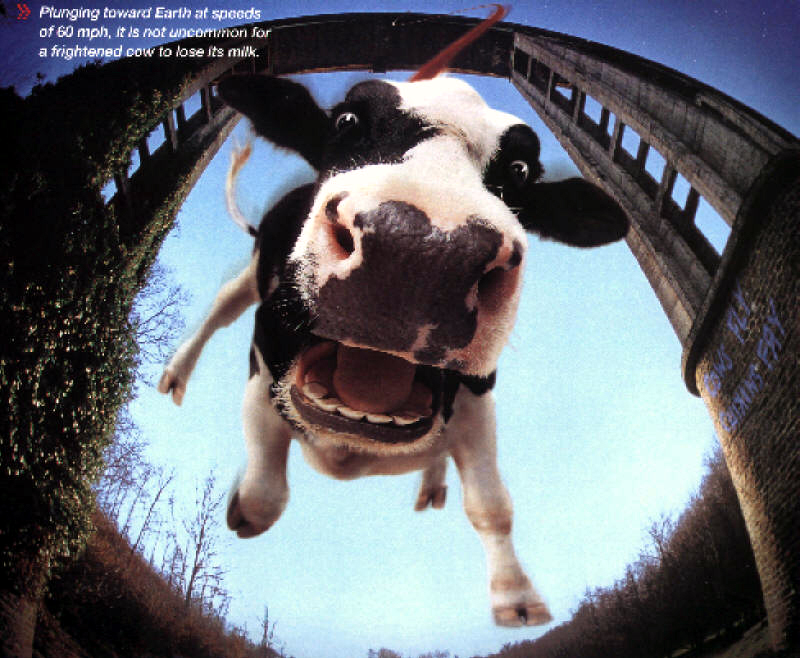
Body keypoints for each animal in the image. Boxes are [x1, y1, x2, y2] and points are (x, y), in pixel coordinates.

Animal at [158, 11, 628, 627]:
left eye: (521, 170)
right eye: (347, 120)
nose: (423, 252)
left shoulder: (479, 391)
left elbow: (492, 505)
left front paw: (516, 598)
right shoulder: (267, 343)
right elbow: (263, 480)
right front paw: (247, 507)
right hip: (256, 268)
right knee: (220, 307)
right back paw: (176, 373)